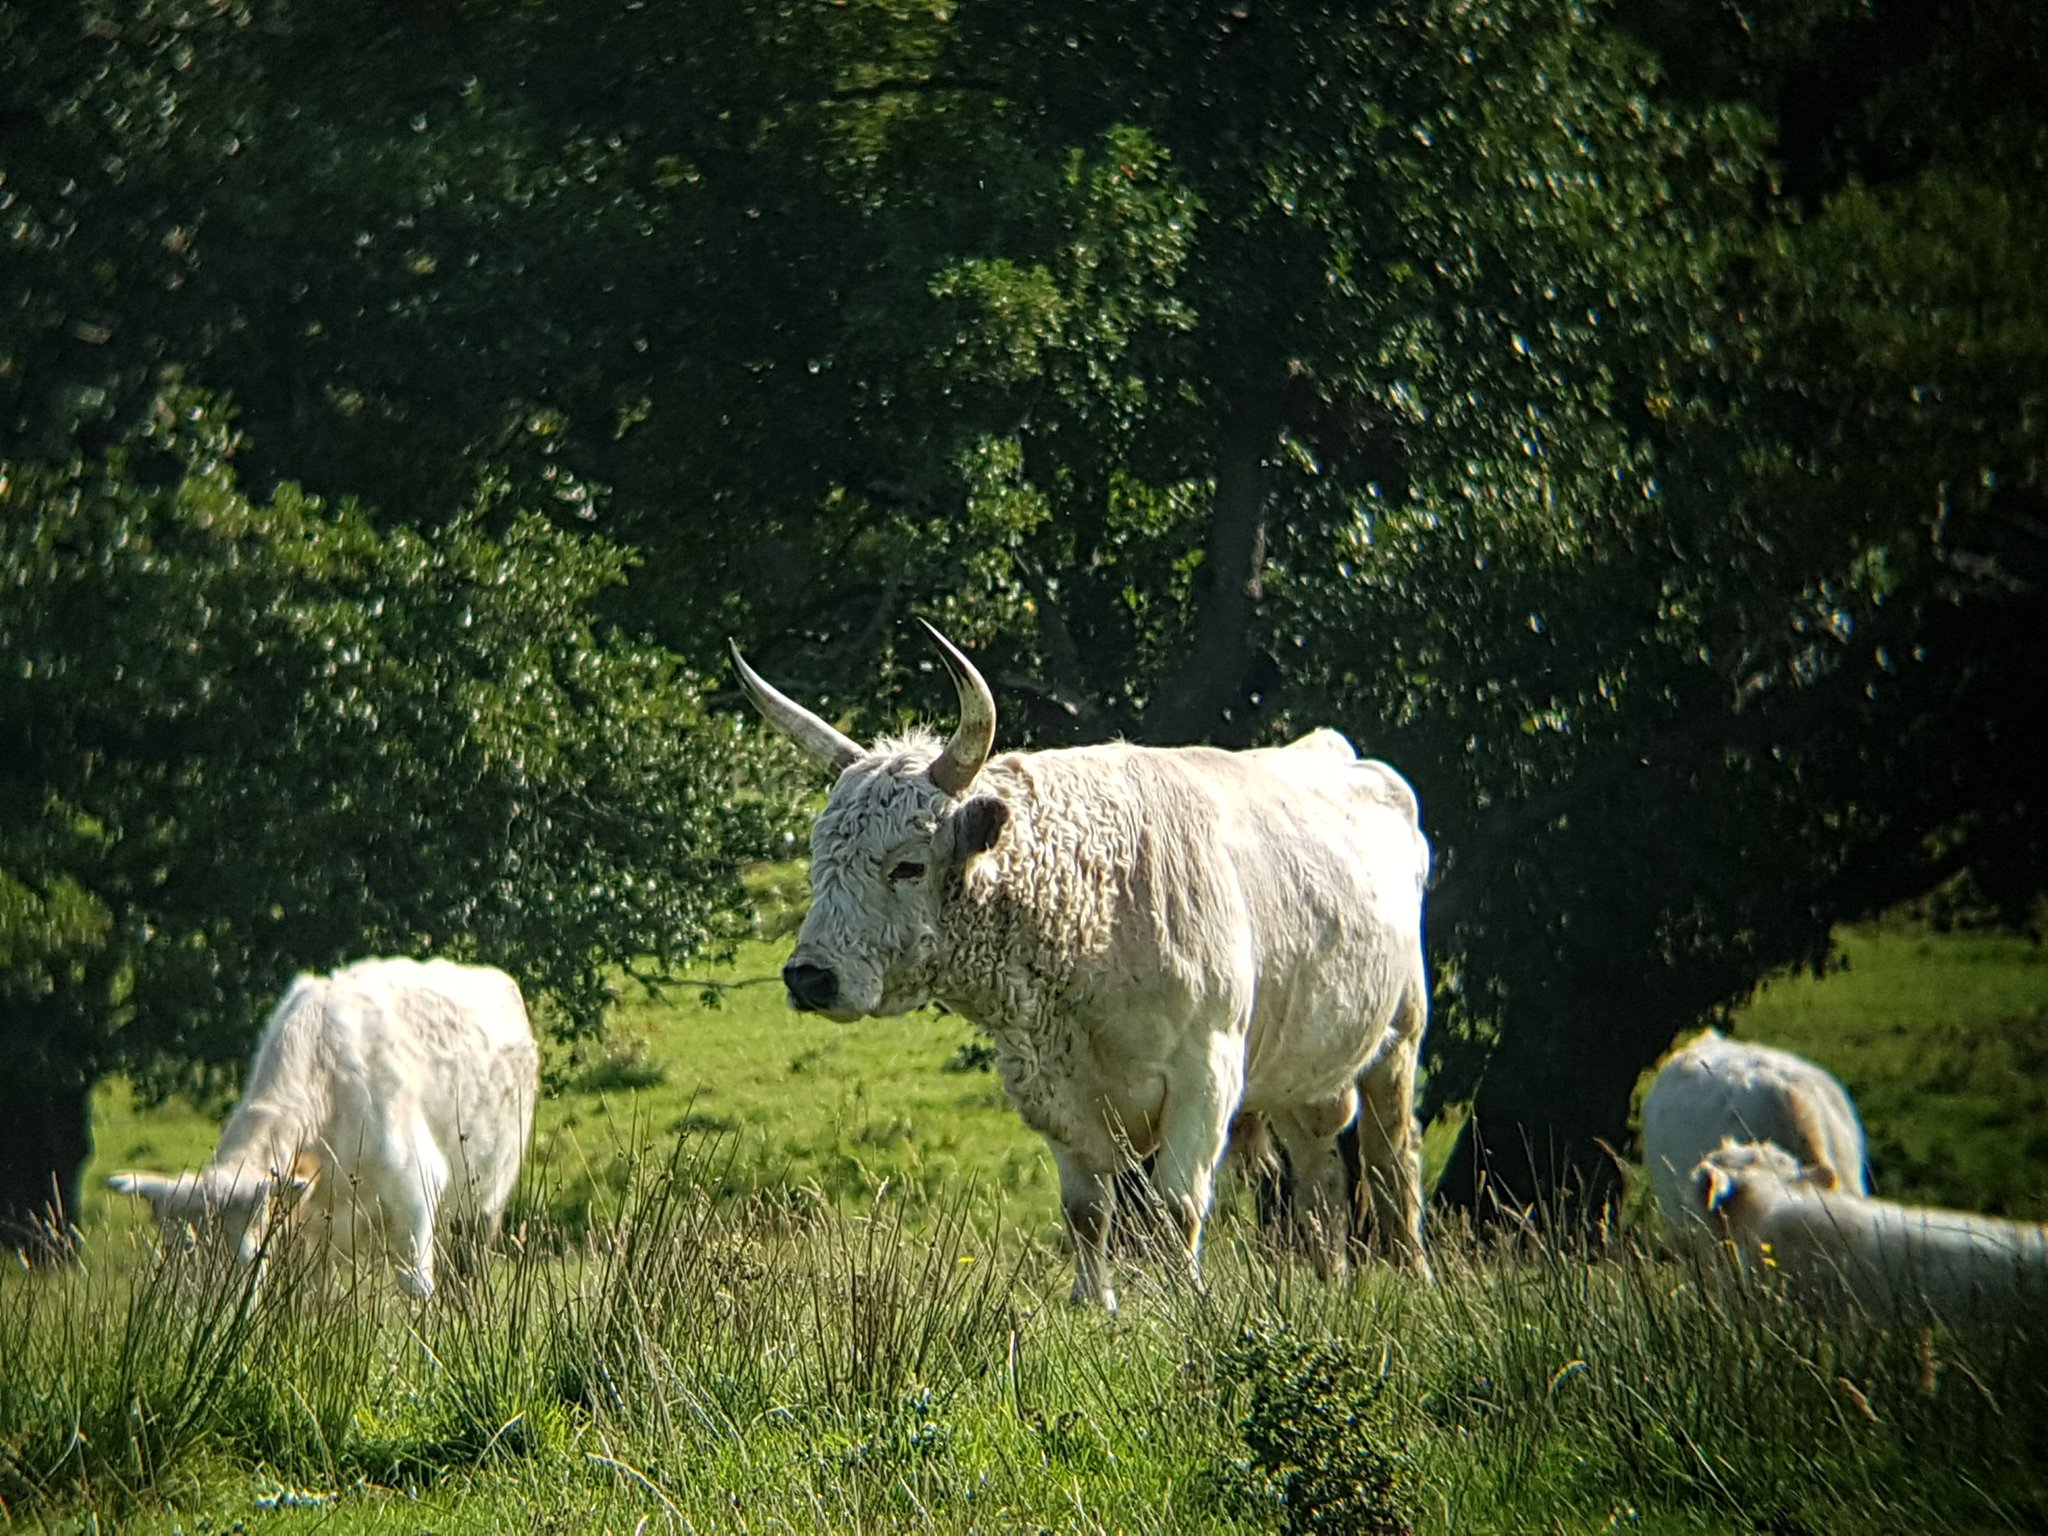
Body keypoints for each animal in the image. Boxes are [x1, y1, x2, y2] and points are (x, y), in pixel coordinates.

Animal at [109, 957, 539, 1299]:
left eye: (251, 1256)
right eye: (174, 1256)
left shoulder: (417, 1192)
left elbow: (417, 1291)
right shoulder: (307, 1232)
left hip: (485, 1201)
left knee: (468, 1269)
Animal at [733, 622, 1432, 1309]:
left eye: (907, 865)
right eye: (819, 857)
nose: (809, 976)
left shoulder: (1206, 1075)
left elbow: (1176, 1207)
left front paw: (1186, 1307)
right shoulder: (1053, 1090)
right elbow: (1086, 1210)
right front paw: (1093, 1305)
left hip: (1400, 1036)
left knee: (1391, 1158)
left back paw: (1412, 1275)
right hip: (1304, 1065)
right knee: (1318, 1168)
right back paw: (1326, 1280)